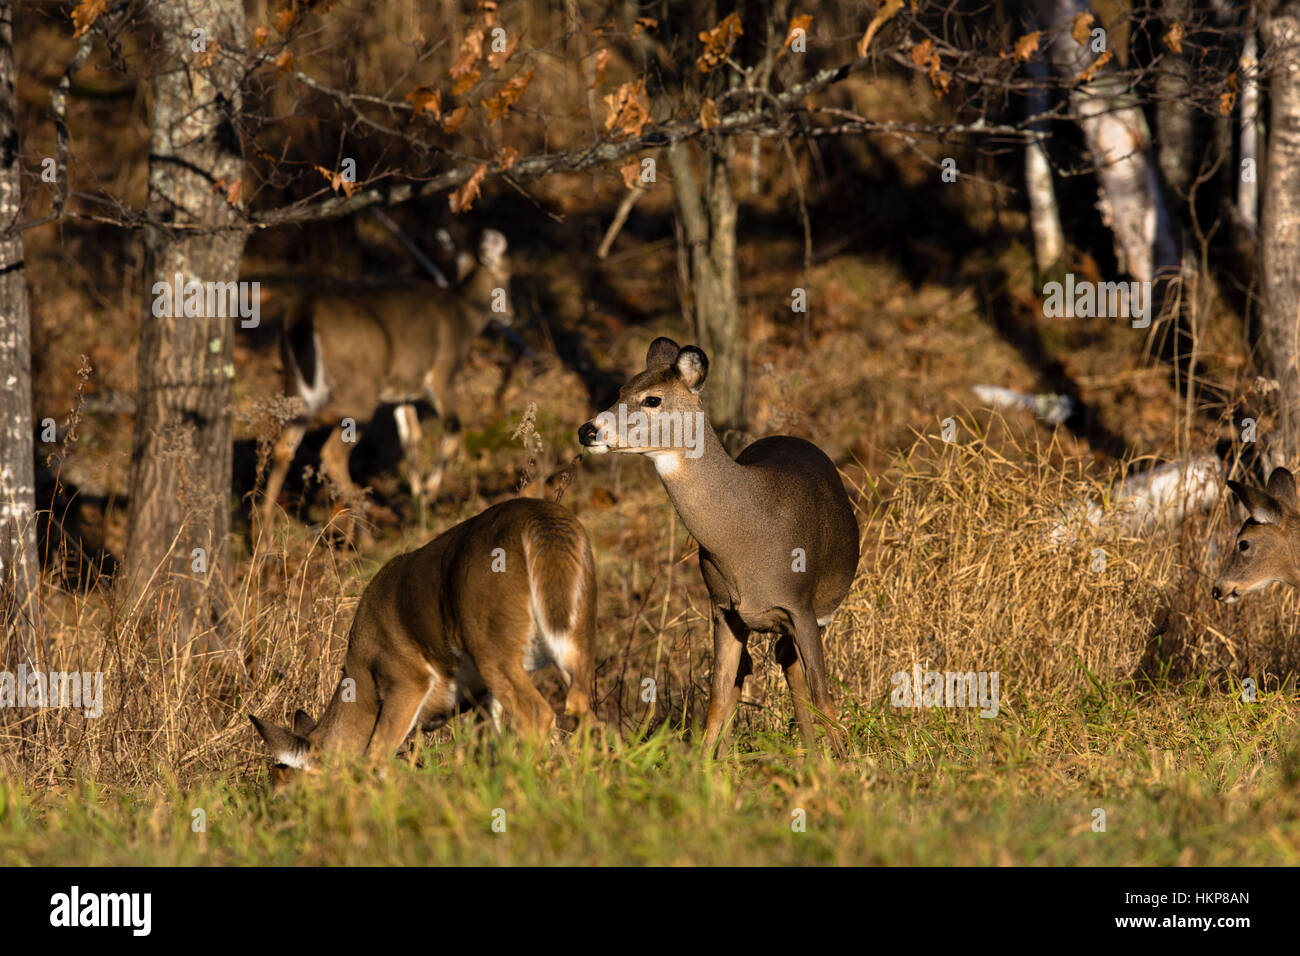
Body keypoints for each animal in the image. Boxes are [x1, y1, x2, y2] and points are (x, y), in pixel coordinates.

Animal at [250, 497, 596, 791]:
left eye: (287, 787)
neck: (362, 675)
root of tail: (541, 523)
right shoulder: (480, 694)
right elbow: (490, 747)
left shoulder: (405, 678)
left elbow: (376, 755)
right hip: (576, 632)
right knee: (581, 707)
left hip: (493, 645)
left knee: (538, 713)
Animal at [258, 229, 513, 545]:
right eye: (508, 275)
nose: (511, 315)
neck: (464, 315)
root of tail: (303, 313)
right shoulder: (442, 372)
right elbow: (454, 430)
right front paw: (428, 494)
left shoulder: (402, 391)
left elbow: (411, 438)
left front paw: (418, 497)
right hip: (359, 391)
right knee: (332, 453)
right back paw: (366, 538)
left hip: (296, 383)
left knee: (285, 445)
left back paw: (264, 537)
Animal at [577, 337, 860, 757]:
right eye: (620, 392)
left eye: (652, 399)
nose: (588, 430)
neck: (745, 538)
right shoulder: (723, 607)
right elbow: (719, 697)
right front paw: (707, 765)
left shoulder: (802, 605)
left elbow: (823, 695)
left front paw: (848, 764)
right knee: (769, 666)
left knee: (794, 668)